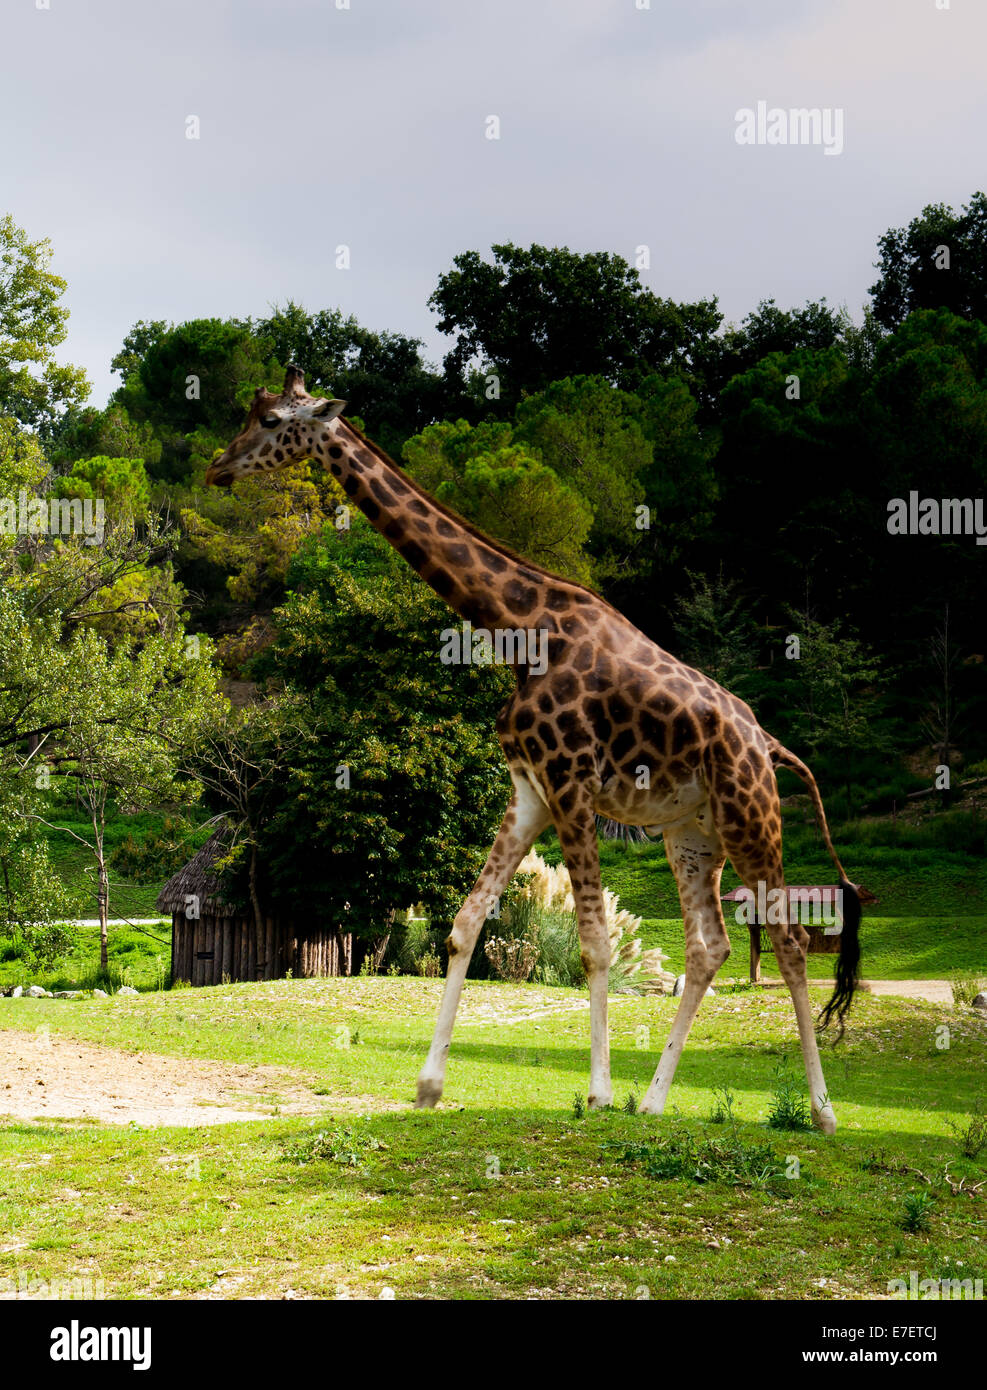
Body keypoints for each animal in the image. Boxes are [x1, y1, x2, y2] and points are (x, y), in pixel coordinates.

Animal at [206, 365, 871, 1134]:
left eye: (270, 420)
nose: (217, 467)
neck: (518, 629)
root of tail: (766, 741)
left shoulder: (571, 782)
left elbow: (593, 943)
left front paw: (598, 1094)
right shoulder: (529, 788)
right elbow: (464, 924)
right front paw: (428, 1087)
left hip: (751, 819)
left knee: (790, 944)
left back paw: (821, 1114)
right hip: (691, 834)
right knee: (710, 947)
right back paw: (654, 1102)